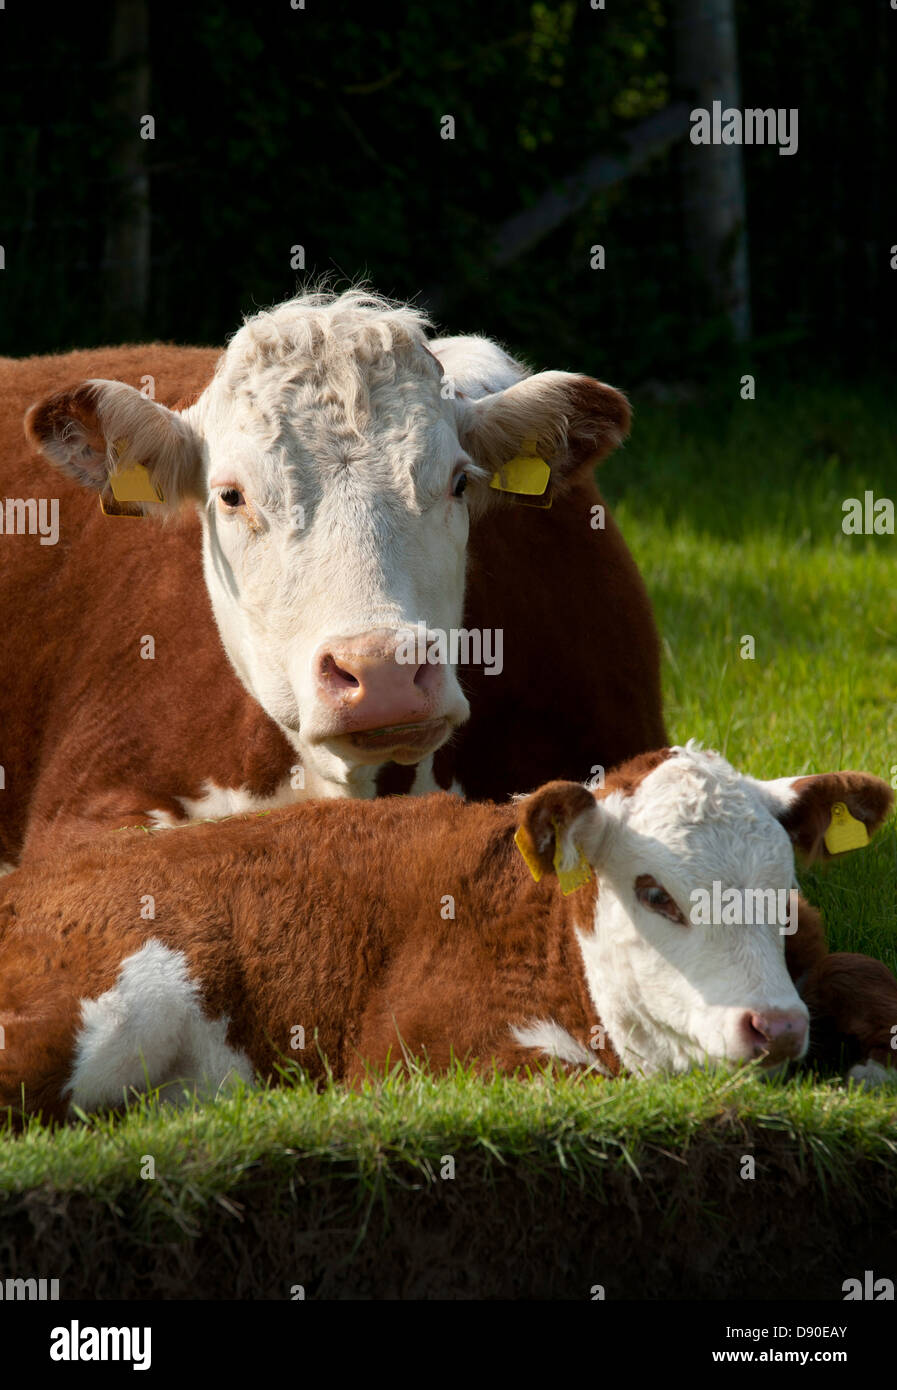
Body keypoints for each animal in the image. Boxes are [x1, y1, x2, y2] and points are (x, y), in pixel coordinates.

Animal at [0, 744, 893, 1125]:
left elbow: (860, 973)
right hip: (116, 1004)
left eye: (783, 894)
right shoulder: (419, 1051)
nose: (775, 1026)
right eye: (653, 893)